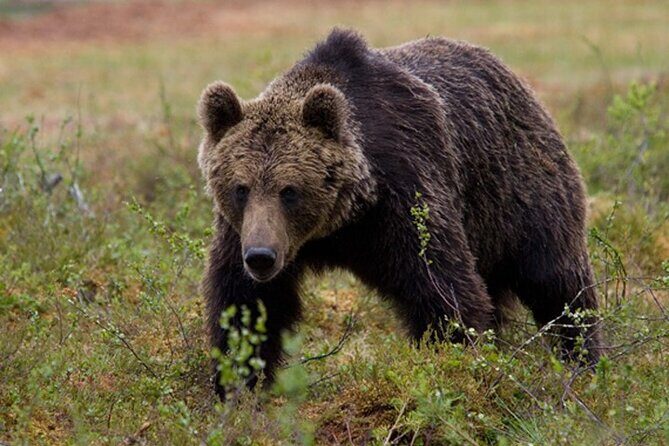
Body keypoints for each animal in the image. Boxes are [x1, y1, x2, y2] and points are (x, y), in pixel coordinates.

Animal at [197, 29, 602, 398]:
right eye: (240, 188)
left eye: (290, 191)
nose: (261, 257)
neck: (344, 220)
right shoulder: (242, 231)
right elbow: (245, 302)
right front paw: (238, 386)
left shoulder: (405, 191)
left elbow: (442, 287)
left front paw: (454, 362)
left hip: (521, 193)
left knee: (556, 281)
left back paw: (582, 362)